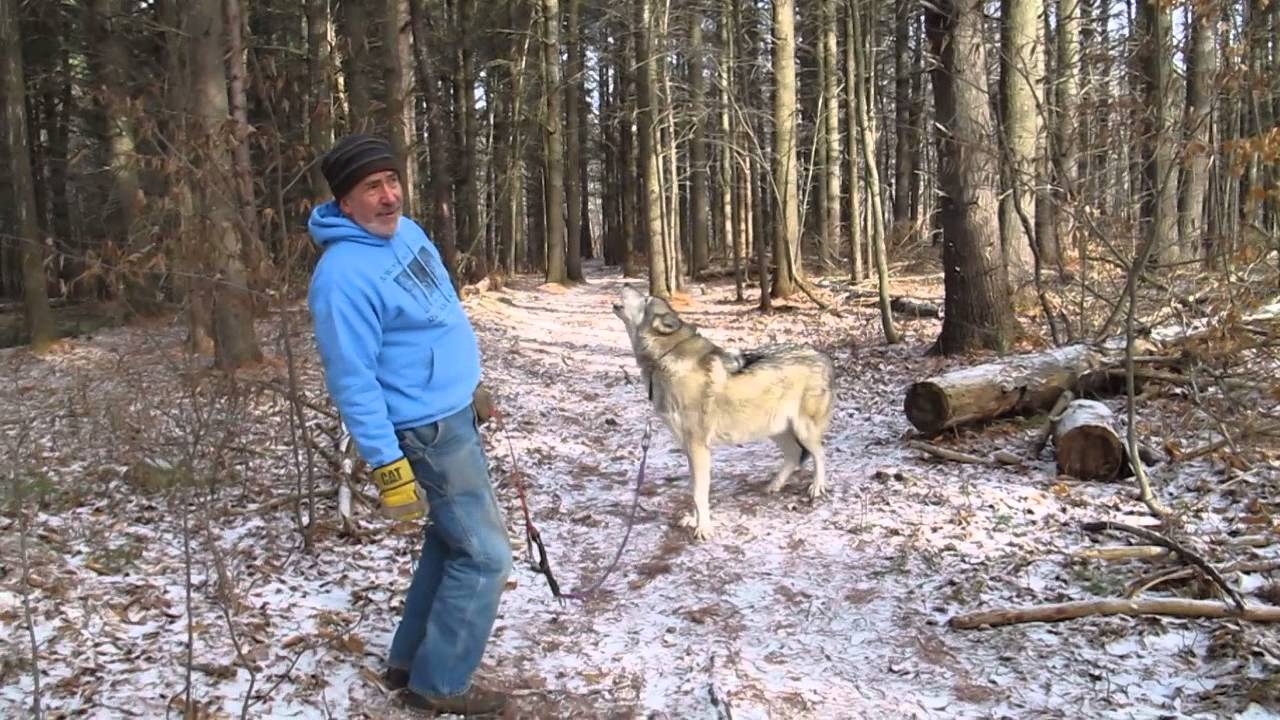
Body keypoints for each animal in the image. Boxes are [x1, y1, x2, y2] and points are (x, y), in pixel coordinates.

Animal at [611, 284, 836, 540]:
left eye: (646, 299)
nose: (625, 284)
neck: (663, 360)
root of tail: (824, 357)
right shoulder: (689, 448)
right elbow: (693, 489)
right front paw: (693, 520)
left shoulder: (698, 447)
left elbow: (699, 492)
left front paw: (703, 529)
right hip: (776, 430)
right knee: (794, 455)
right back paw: (774, 485)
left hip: (802, 430)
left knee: (820, 453)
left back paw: (817, 487)